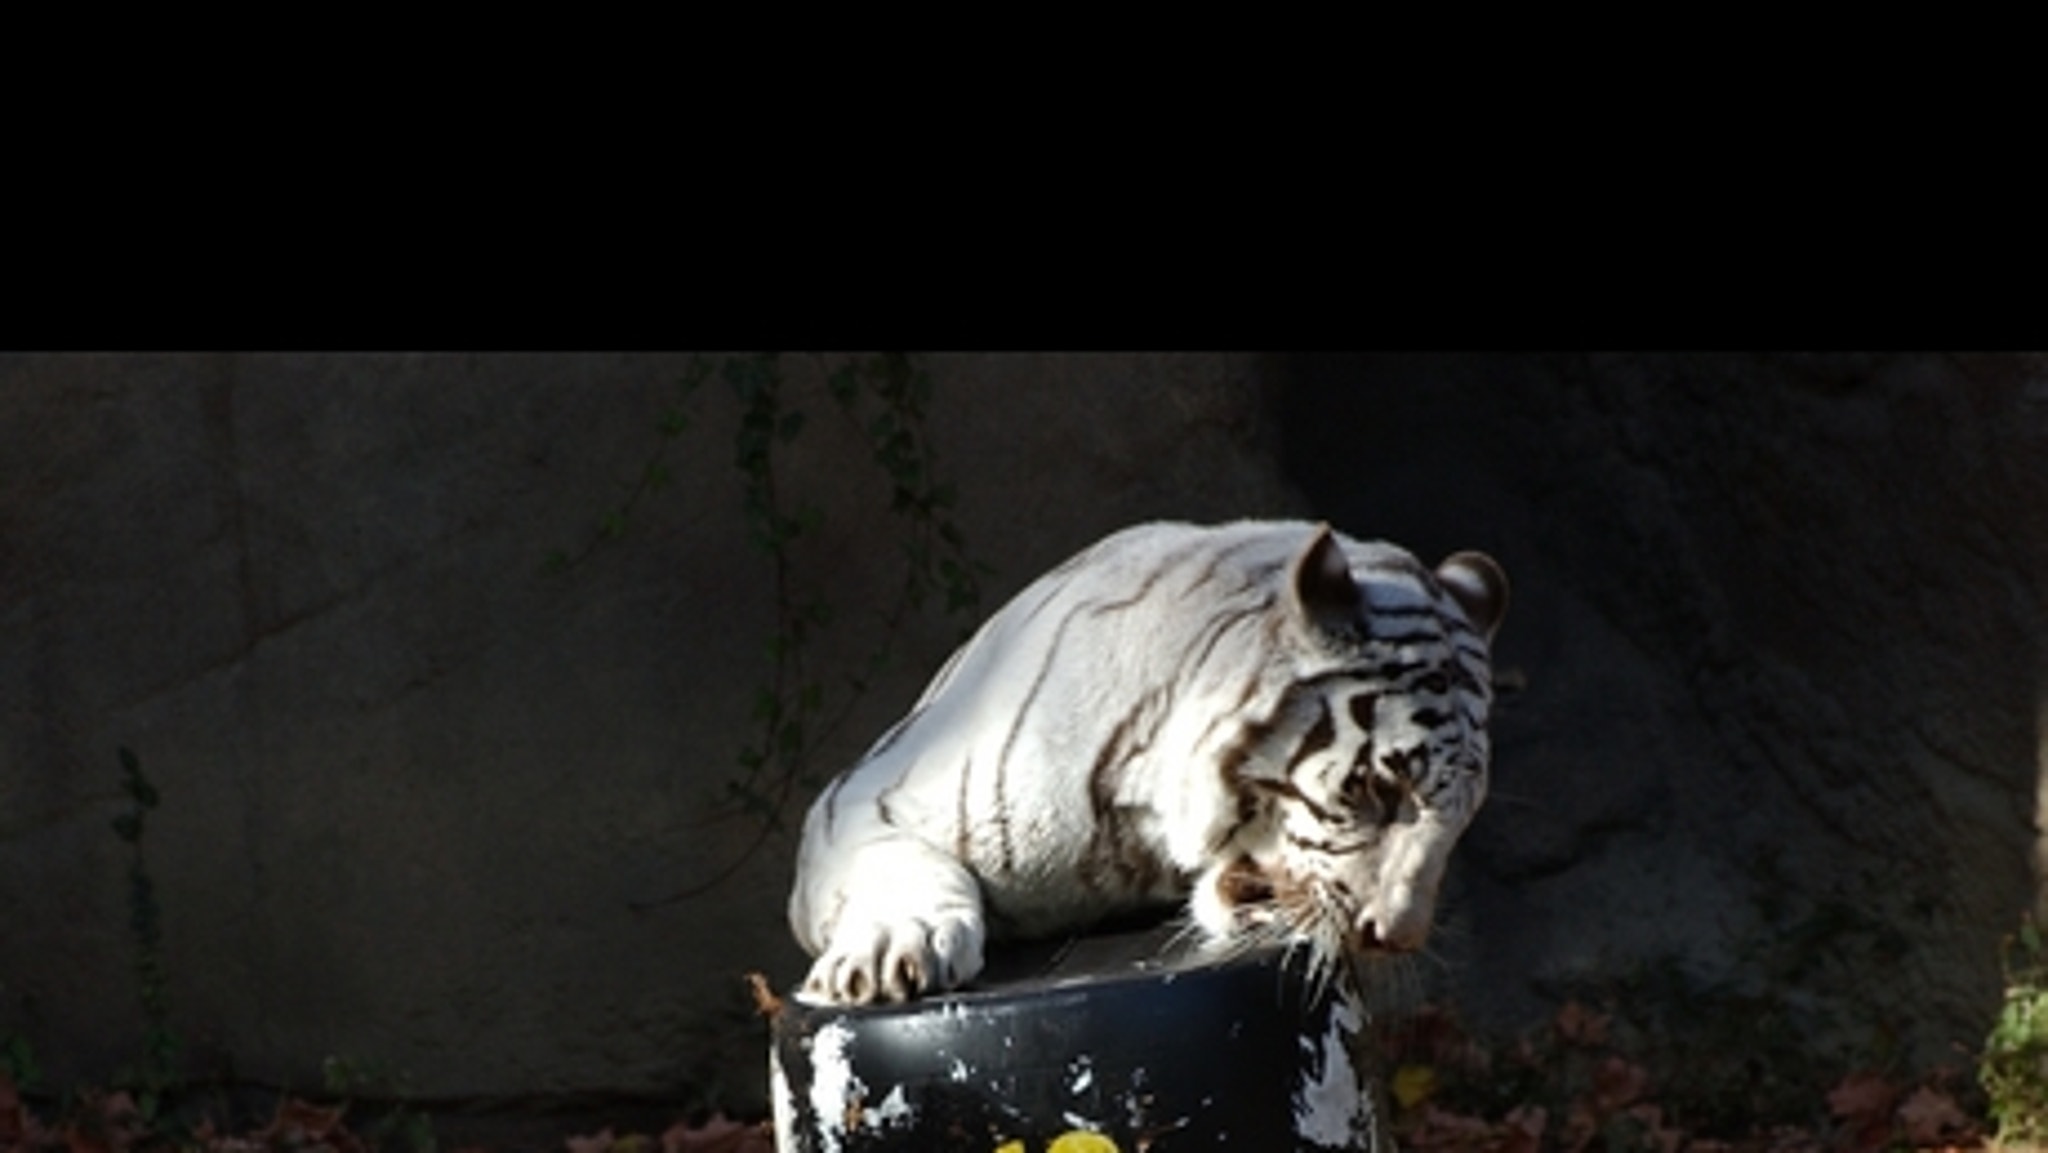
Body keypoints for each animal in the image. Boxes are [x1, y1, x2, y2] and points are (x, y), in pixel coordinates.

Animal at [787, 518, 1508, 1005]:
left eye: (1463, 821)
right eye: (1381, 786)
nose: (1393, 935)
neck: (1143, 826)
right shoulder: (863, 796)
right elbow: (899, 860)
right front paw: (892, 949)